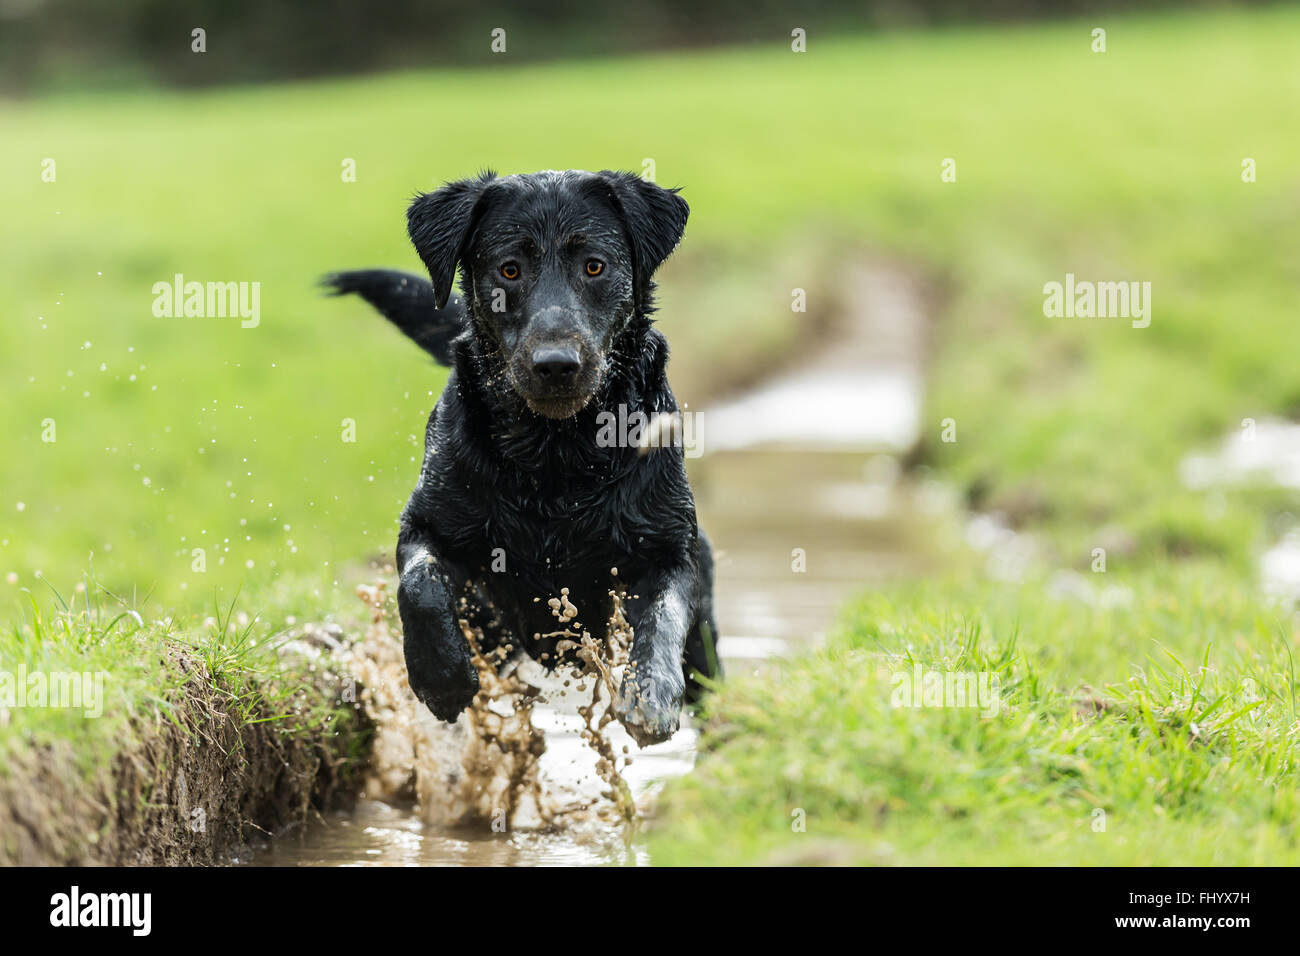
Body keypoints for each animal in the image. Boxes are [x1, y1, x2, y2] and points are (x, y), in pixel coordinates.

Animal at [325, 167, 722, 743]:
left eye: (594, 265)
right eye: (509, 269)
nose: (555, 364)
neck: (555, 455)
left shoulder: (666, 546)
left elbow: (663, 614)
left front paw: (651, 694)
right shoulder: (427, 524)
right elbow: (419, 585)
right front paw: (442, 678)